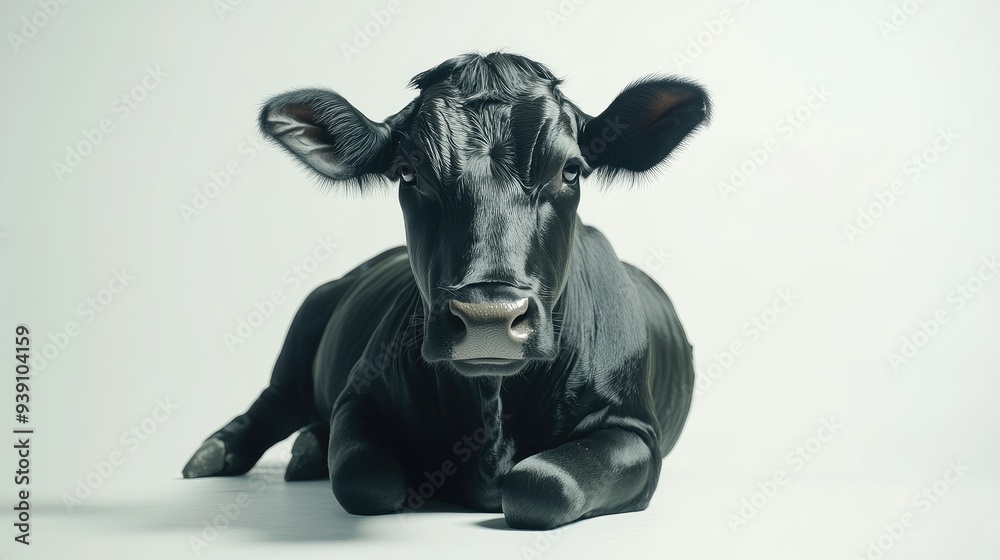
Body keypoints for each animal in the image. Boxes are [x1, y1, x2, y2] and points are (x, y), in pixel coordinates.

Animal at [183, 52, 710, 530]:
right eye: (409, 173)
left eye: (571, 170)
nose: (489, 318)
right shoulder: (358, 396)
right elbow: (364, 476)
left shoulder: (634, 431)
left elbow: (544, 483)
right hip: (302, 331)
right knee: (272, 403)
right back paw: (224, 452)